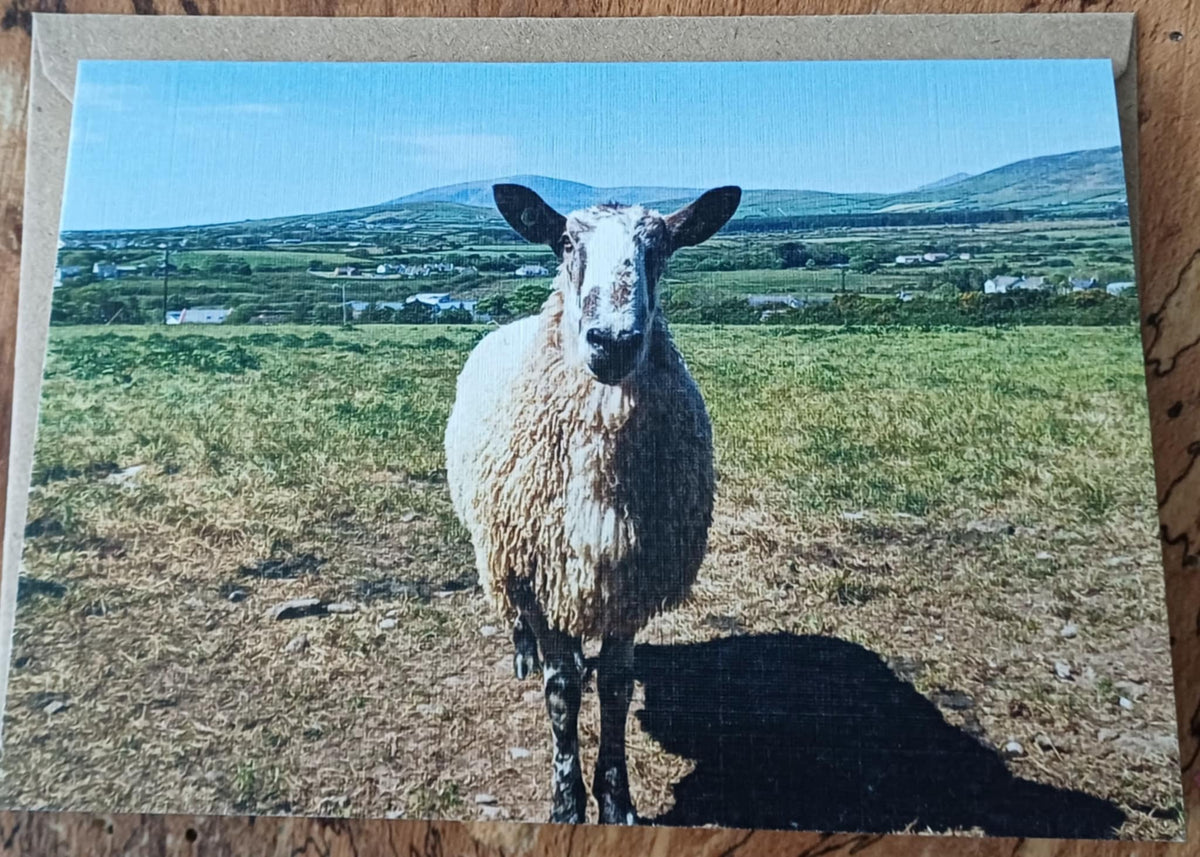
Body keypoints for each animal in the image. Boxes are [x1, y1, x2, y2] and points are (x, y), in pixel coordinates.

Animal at [444, 182, 741, 825]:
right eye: (564, 242)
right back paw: (524, 655)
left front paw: (616, 800)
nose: (613, 342)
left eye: (663, 245)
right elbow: (562, 692)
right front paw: (566, 804)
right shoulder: (540, 575)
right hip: (501, 550)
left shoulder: (630, 578)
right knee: (520, 623)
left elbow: (616, 689)